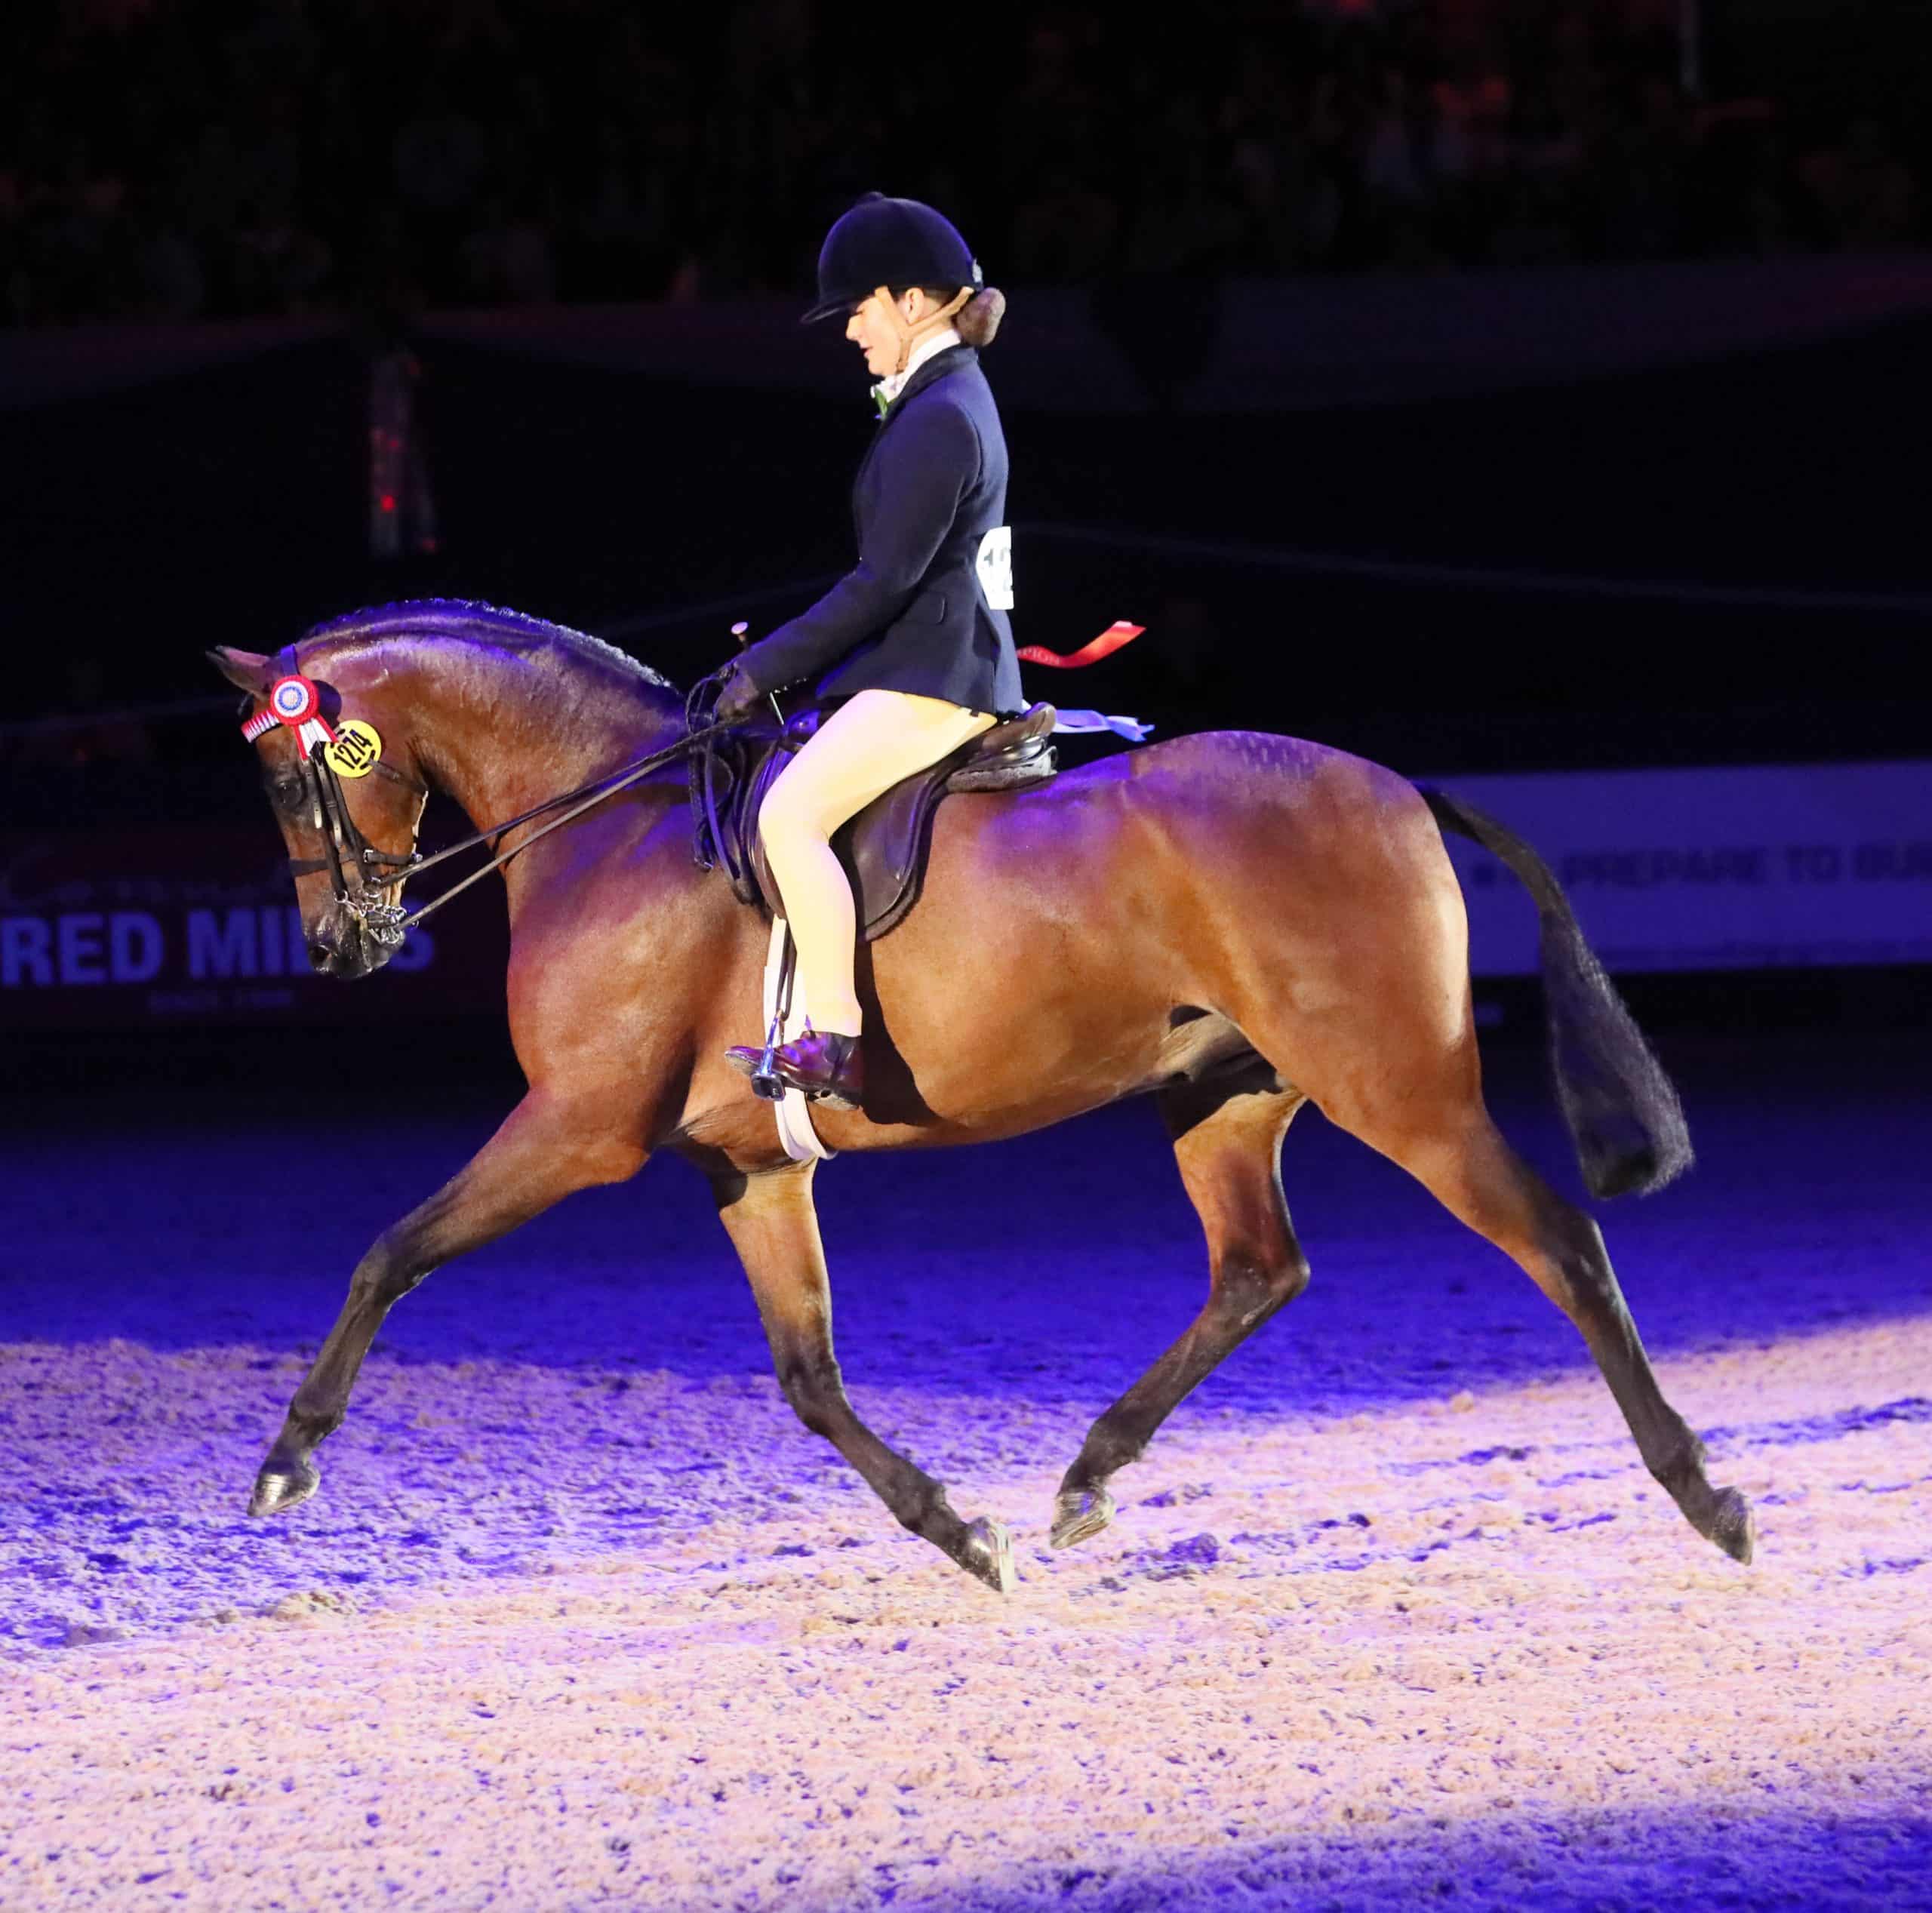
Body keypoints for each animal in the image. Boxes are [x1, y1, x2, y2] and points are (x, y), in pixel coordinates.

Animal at [210, 599, 1753, 1594]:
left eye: (286, 774)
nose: (337, 946)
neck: (614, 818)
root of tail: (1399, 786)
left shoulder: (577, 1129)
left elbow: (391, 1251)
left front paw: (287, 1460)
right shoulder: (750, 1167)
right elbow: (810, 1378)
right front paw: (960, 1531)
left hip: (1399, 1087)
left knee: (1558, 1239)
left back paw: (1706, 1494)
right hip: (1225, 1091)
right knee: (1260, 1269)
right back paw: (1085, 1477)